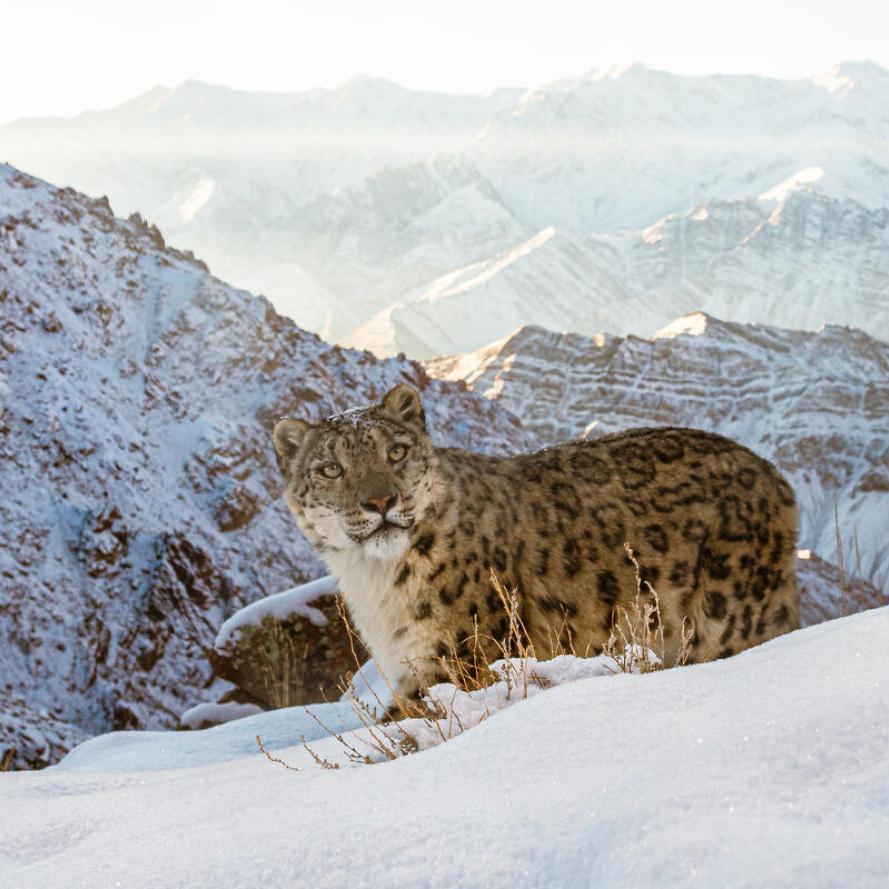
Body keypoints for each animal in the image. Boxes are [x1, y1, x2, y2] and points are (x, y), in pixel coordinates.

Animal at [273, 384, 800, 701]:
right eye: (331, 469)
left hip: (729, 620)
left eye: (396, 451)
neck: (377, 582)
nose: (381, 500)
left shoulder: (457, 659)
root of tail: (774, 476)